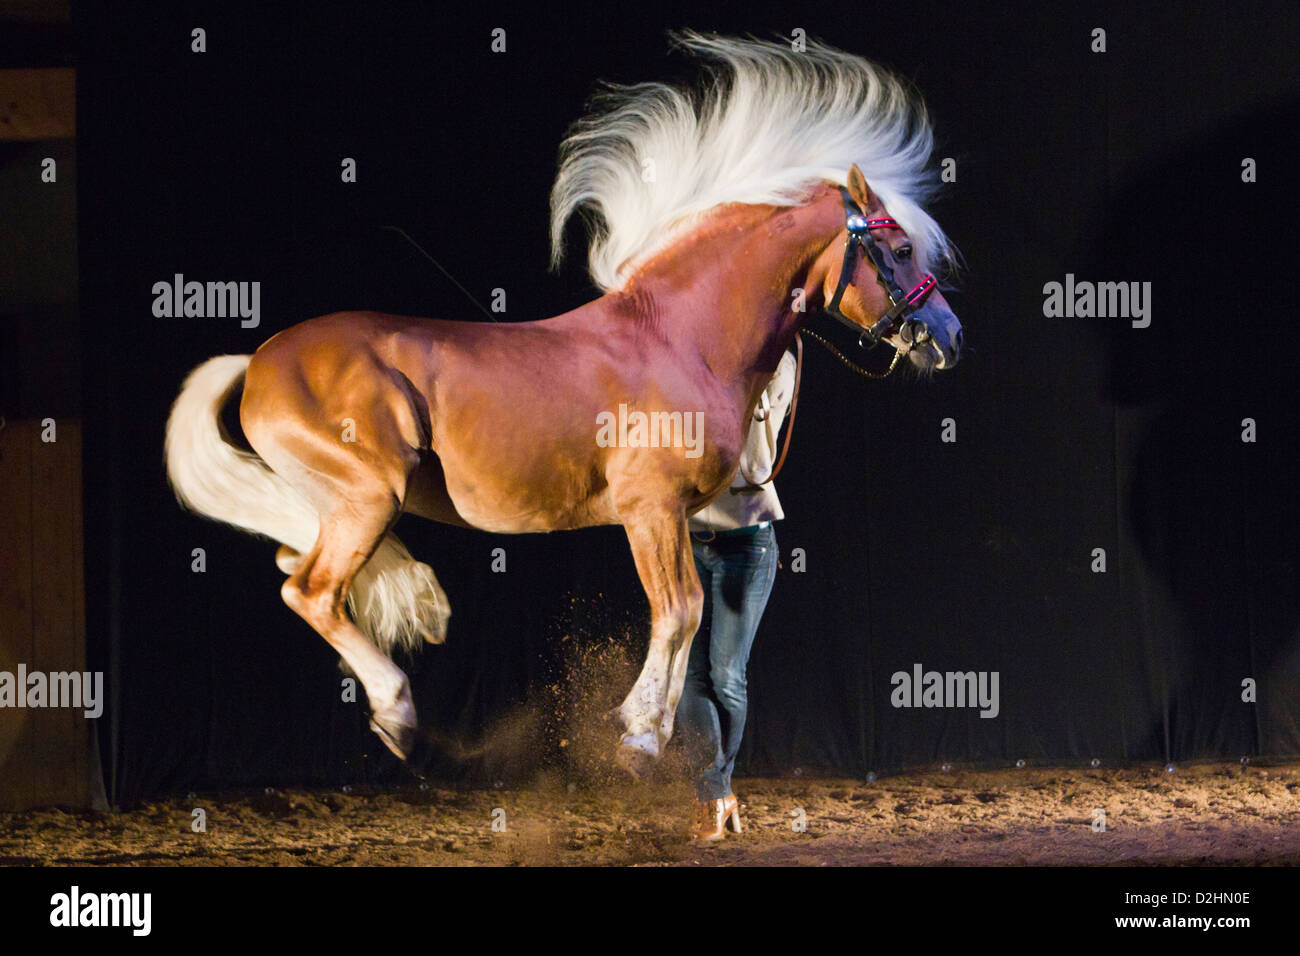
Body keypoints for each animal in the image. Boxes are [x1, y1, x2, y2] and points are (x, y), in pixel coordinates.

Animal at [164, 32, 963, 777]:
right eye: (897, 253)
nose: (948, 337)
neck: (679, 338)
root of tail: (261, 363)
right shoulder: (650, 509)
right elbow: (679, 612)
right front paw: (640, 739)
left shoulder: (670, 517)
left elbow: (688, 620)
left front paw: (640, 729)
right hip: (367, 493)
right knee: (310, 590)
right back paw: (396, 714)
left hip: (334, 500)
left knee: (297, 564)